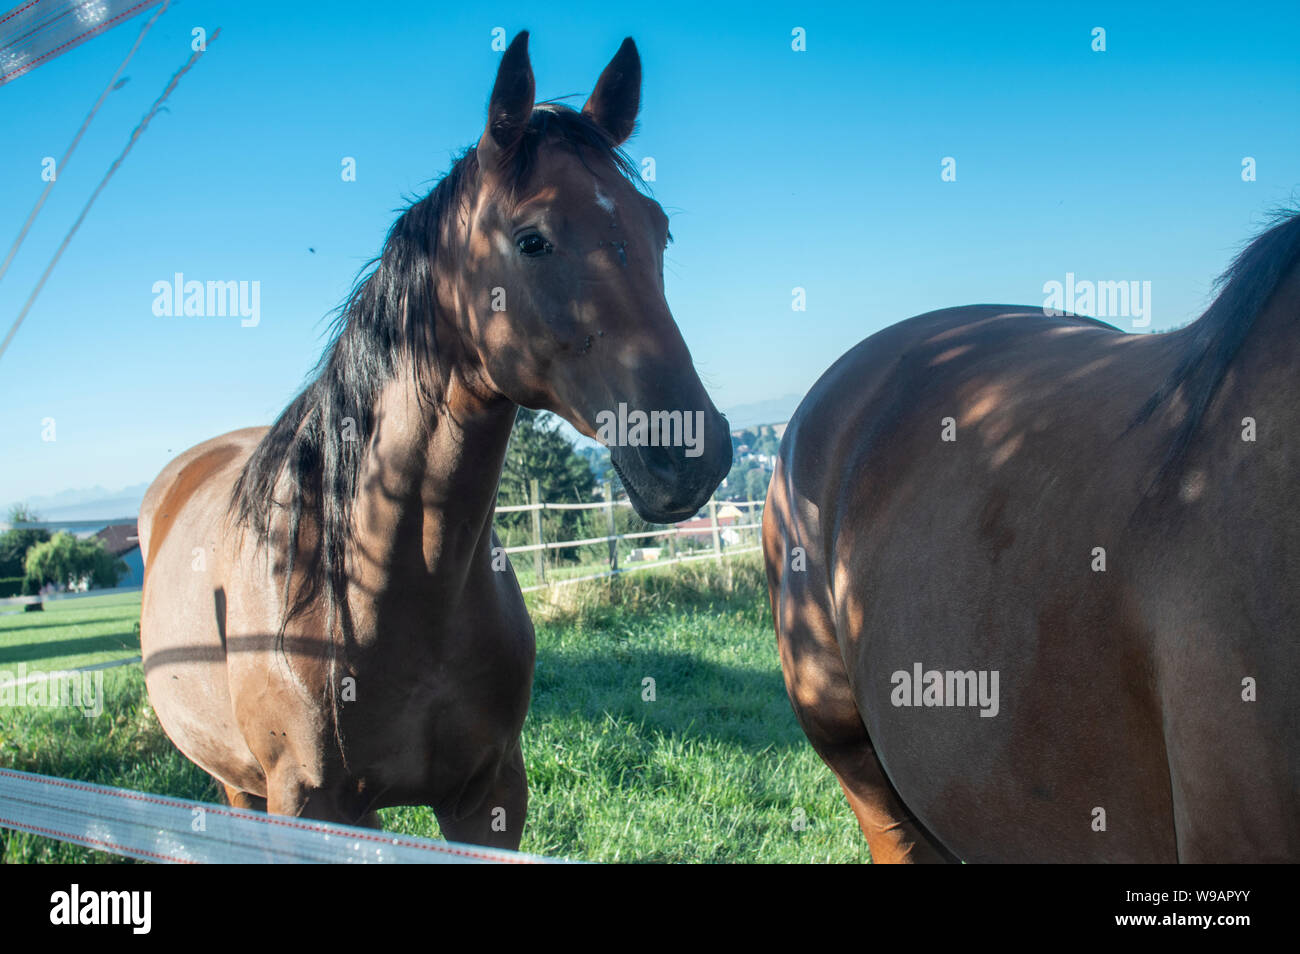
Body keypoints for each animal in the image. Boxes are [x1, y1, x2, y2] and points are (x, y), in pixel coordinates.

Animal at [137, 32, 731, 848]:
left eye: (659, 230)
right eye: (533, 239)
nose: (690, 450)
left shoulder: (490, 796)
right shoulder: (313, 807)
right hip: (239, 789)